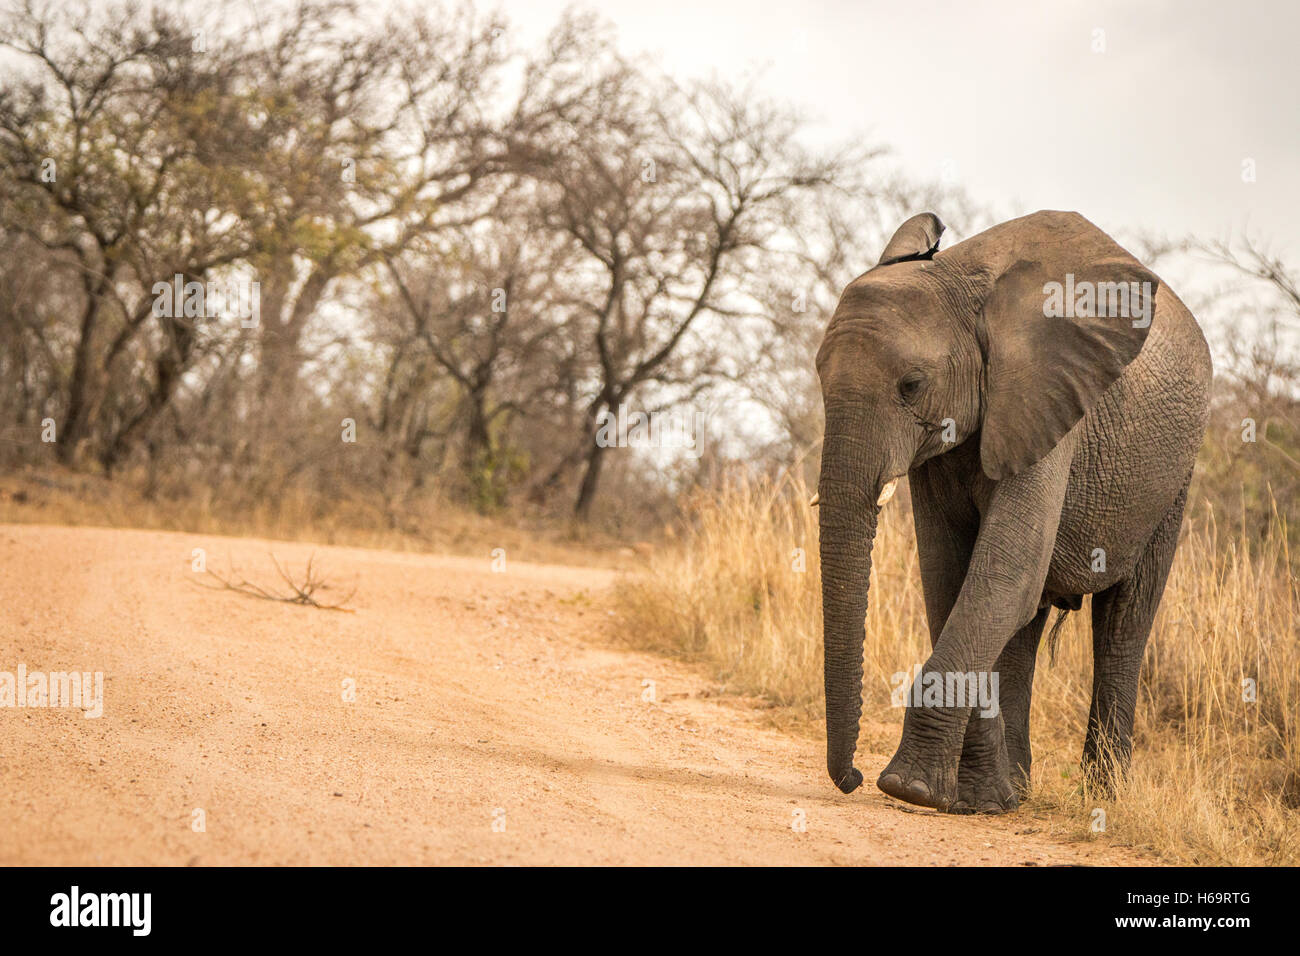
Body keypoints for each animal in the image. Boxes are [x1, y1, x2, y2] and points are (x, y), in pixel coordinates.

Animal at [815, 209, 1211, 813]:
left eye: (912, 385)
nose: (852, 777)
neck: (961, 282)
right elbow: (953, 576)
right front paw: (980, 797)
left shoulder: (1051, 403)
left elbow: (1003, 574)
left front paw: (911, 788)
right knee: (1028, 624)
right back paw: (1018, 788)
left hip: (1174, 474)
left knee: (1125, 620)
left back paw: (1104, 796)